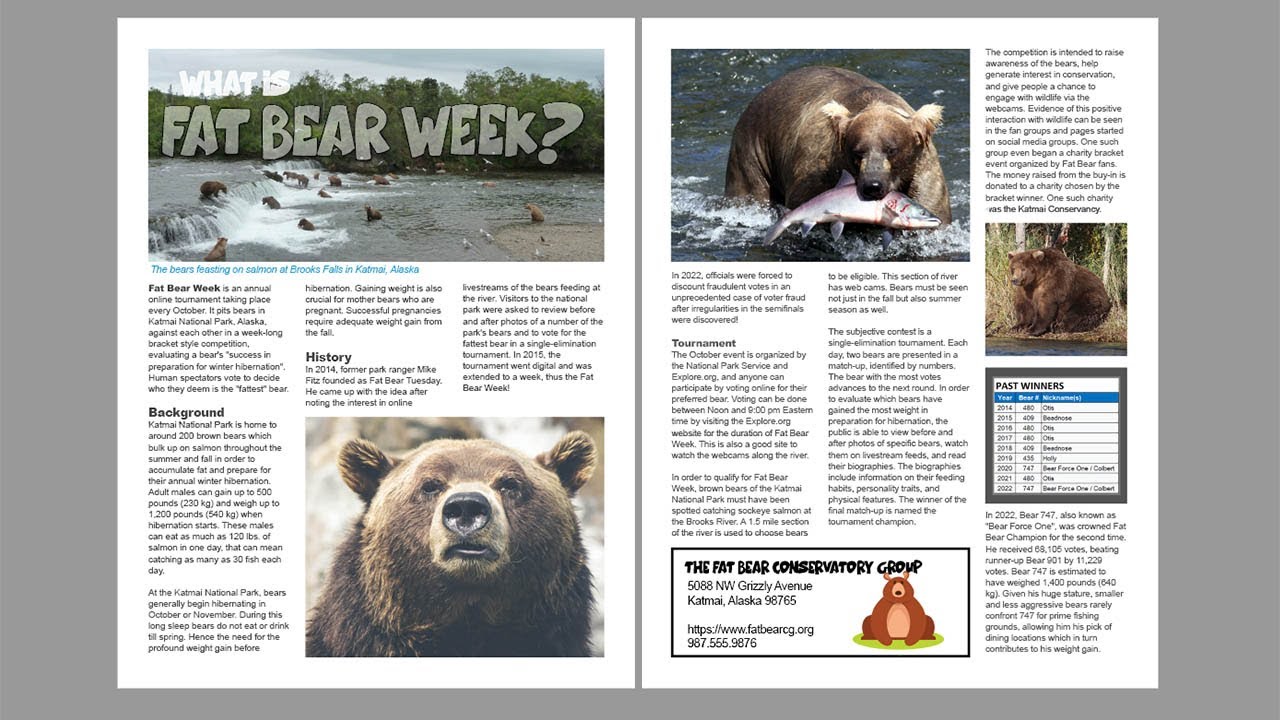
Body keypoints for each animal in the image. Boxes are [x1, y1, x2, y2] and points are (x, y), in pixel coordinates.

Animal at [725, 66, 950, 224]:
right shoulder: (819, 173)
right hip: (754, 149)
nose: (872, 186)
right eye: (858, 151)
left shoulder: (924, 176)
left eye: (892, 149)